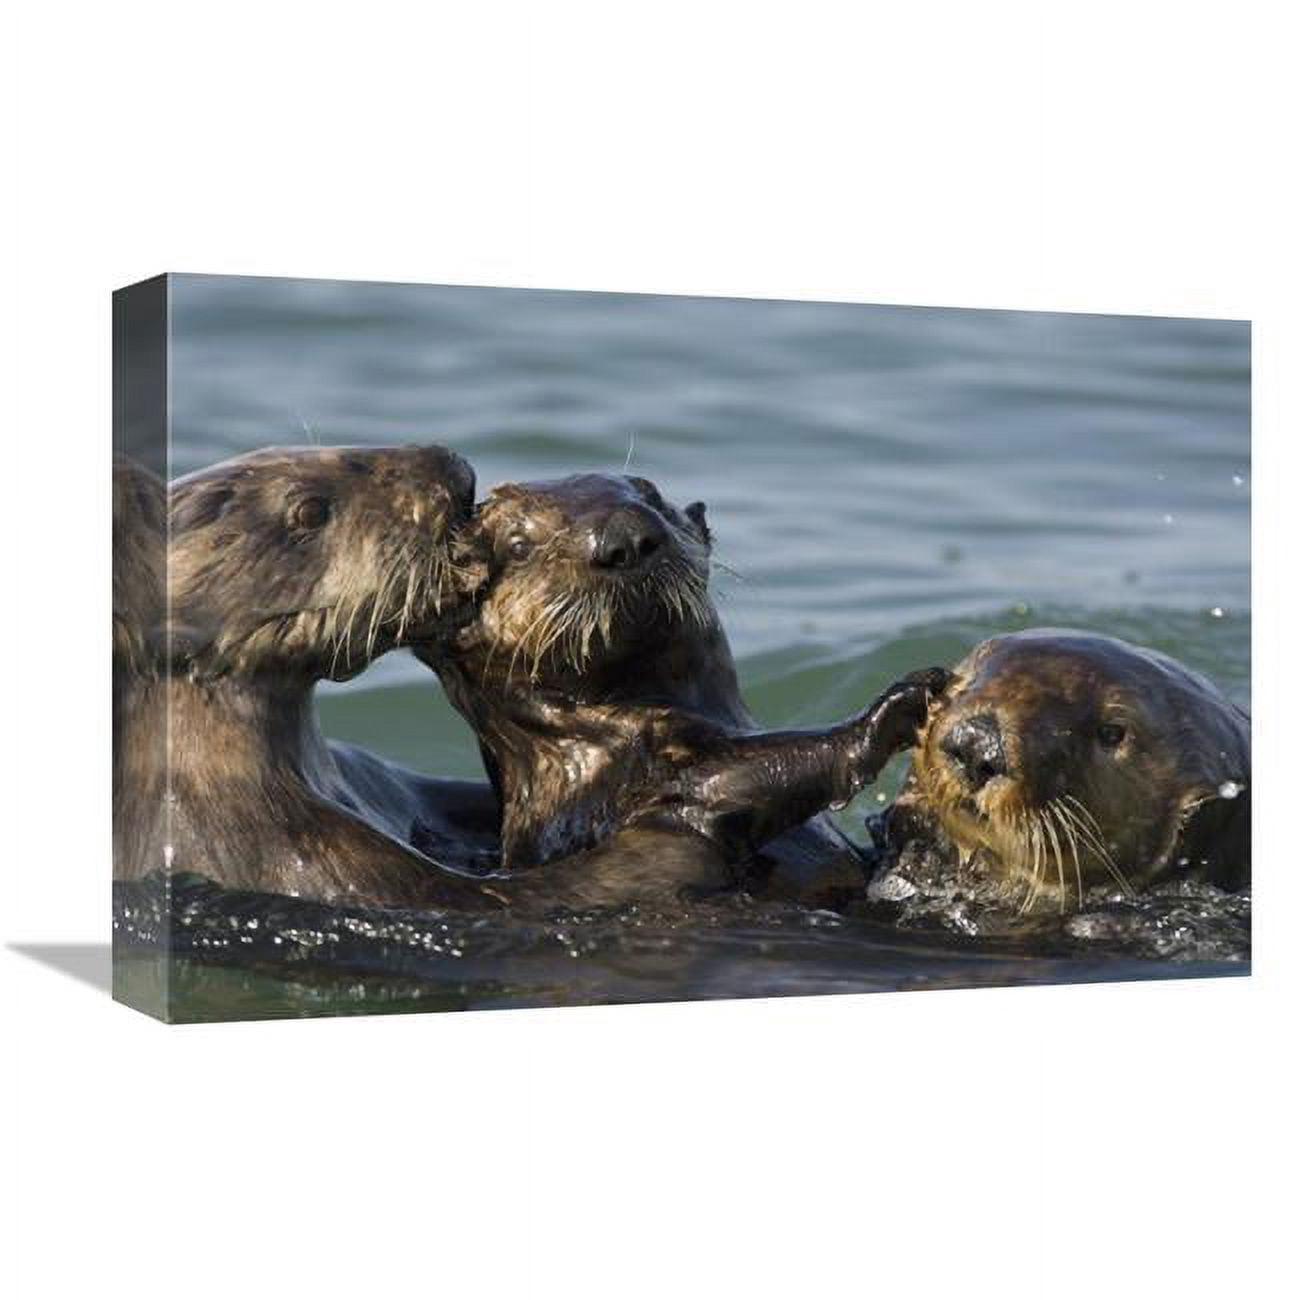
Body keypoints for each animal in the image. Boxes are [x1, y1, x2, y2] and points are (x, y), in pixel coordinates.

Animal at [422, 472, 947, 909]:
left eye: (650, 496)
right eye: (517, 545)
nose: (625, 534)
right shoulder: (635, 777)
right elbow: (749, 774)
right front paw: (902, 702)